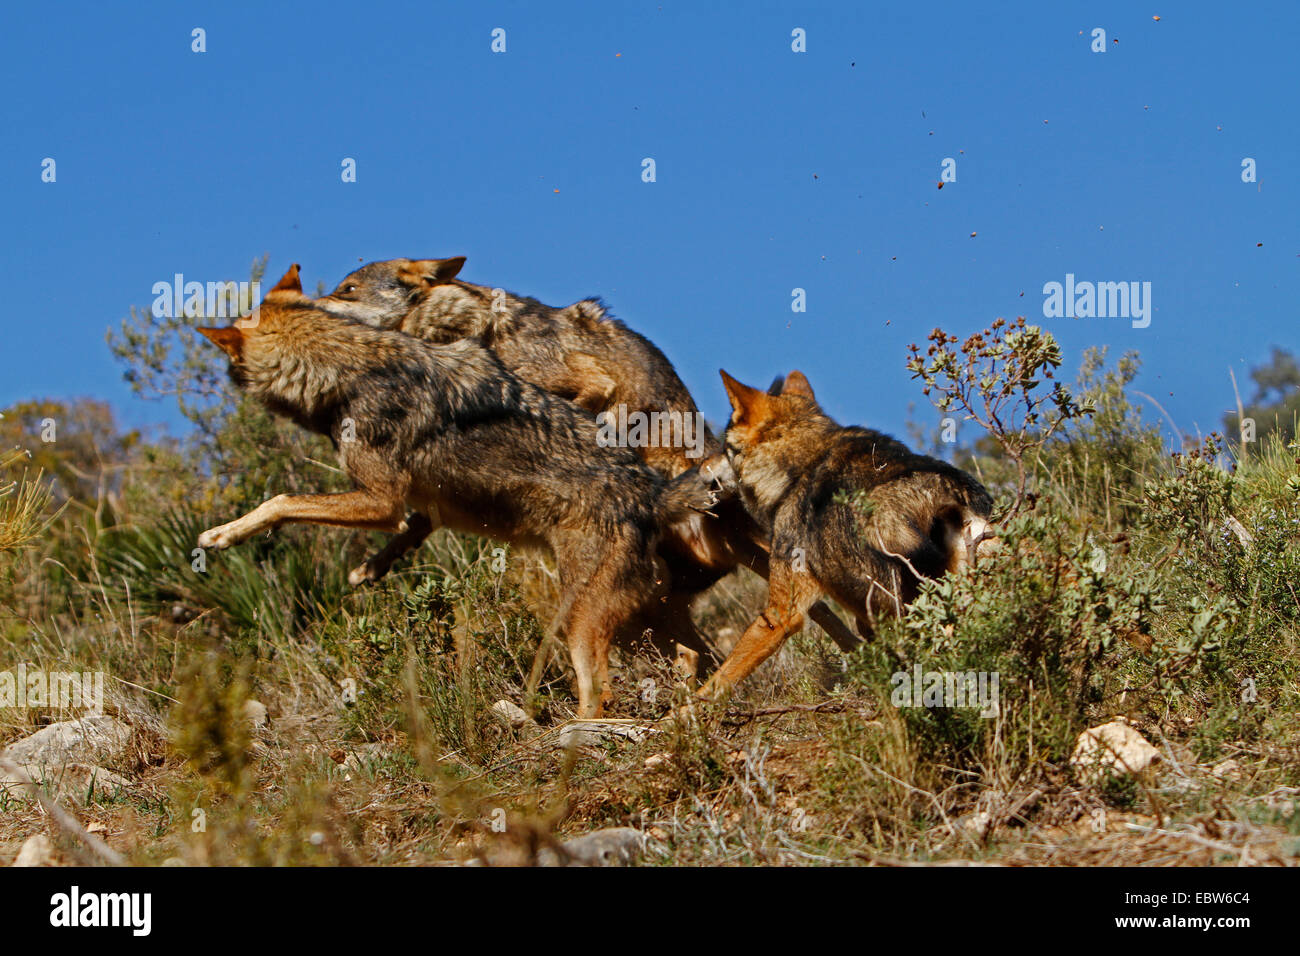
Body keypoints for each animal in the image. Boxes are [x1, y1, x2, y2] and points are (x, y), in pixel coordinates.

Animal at [194, 265, 713, 718]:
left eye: (348, 289)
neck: (343, 367)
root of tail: (653, 493)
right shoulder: (422, 505)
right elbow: (401, 530)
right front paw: (369, 568)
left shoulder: (381, 501)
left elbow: (281, 501)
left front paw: (220, 535)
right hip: (629, 620)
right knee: (691, 654)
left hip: (580, 621)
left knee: (601, 694)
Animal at [316, 258, 861, 658]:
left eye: (346, 289)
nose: (301, 302)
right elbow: (415, 521)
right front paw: (372, 567)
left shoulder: (594, 385)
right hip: (662, 599)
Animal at [695, 370, 995, 701]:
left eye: (723, 447)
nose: (699, 466)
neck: (802, 462)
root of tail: (942, 496)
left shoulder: (782, 613)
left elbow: (719, 679)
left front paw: (683, 712)